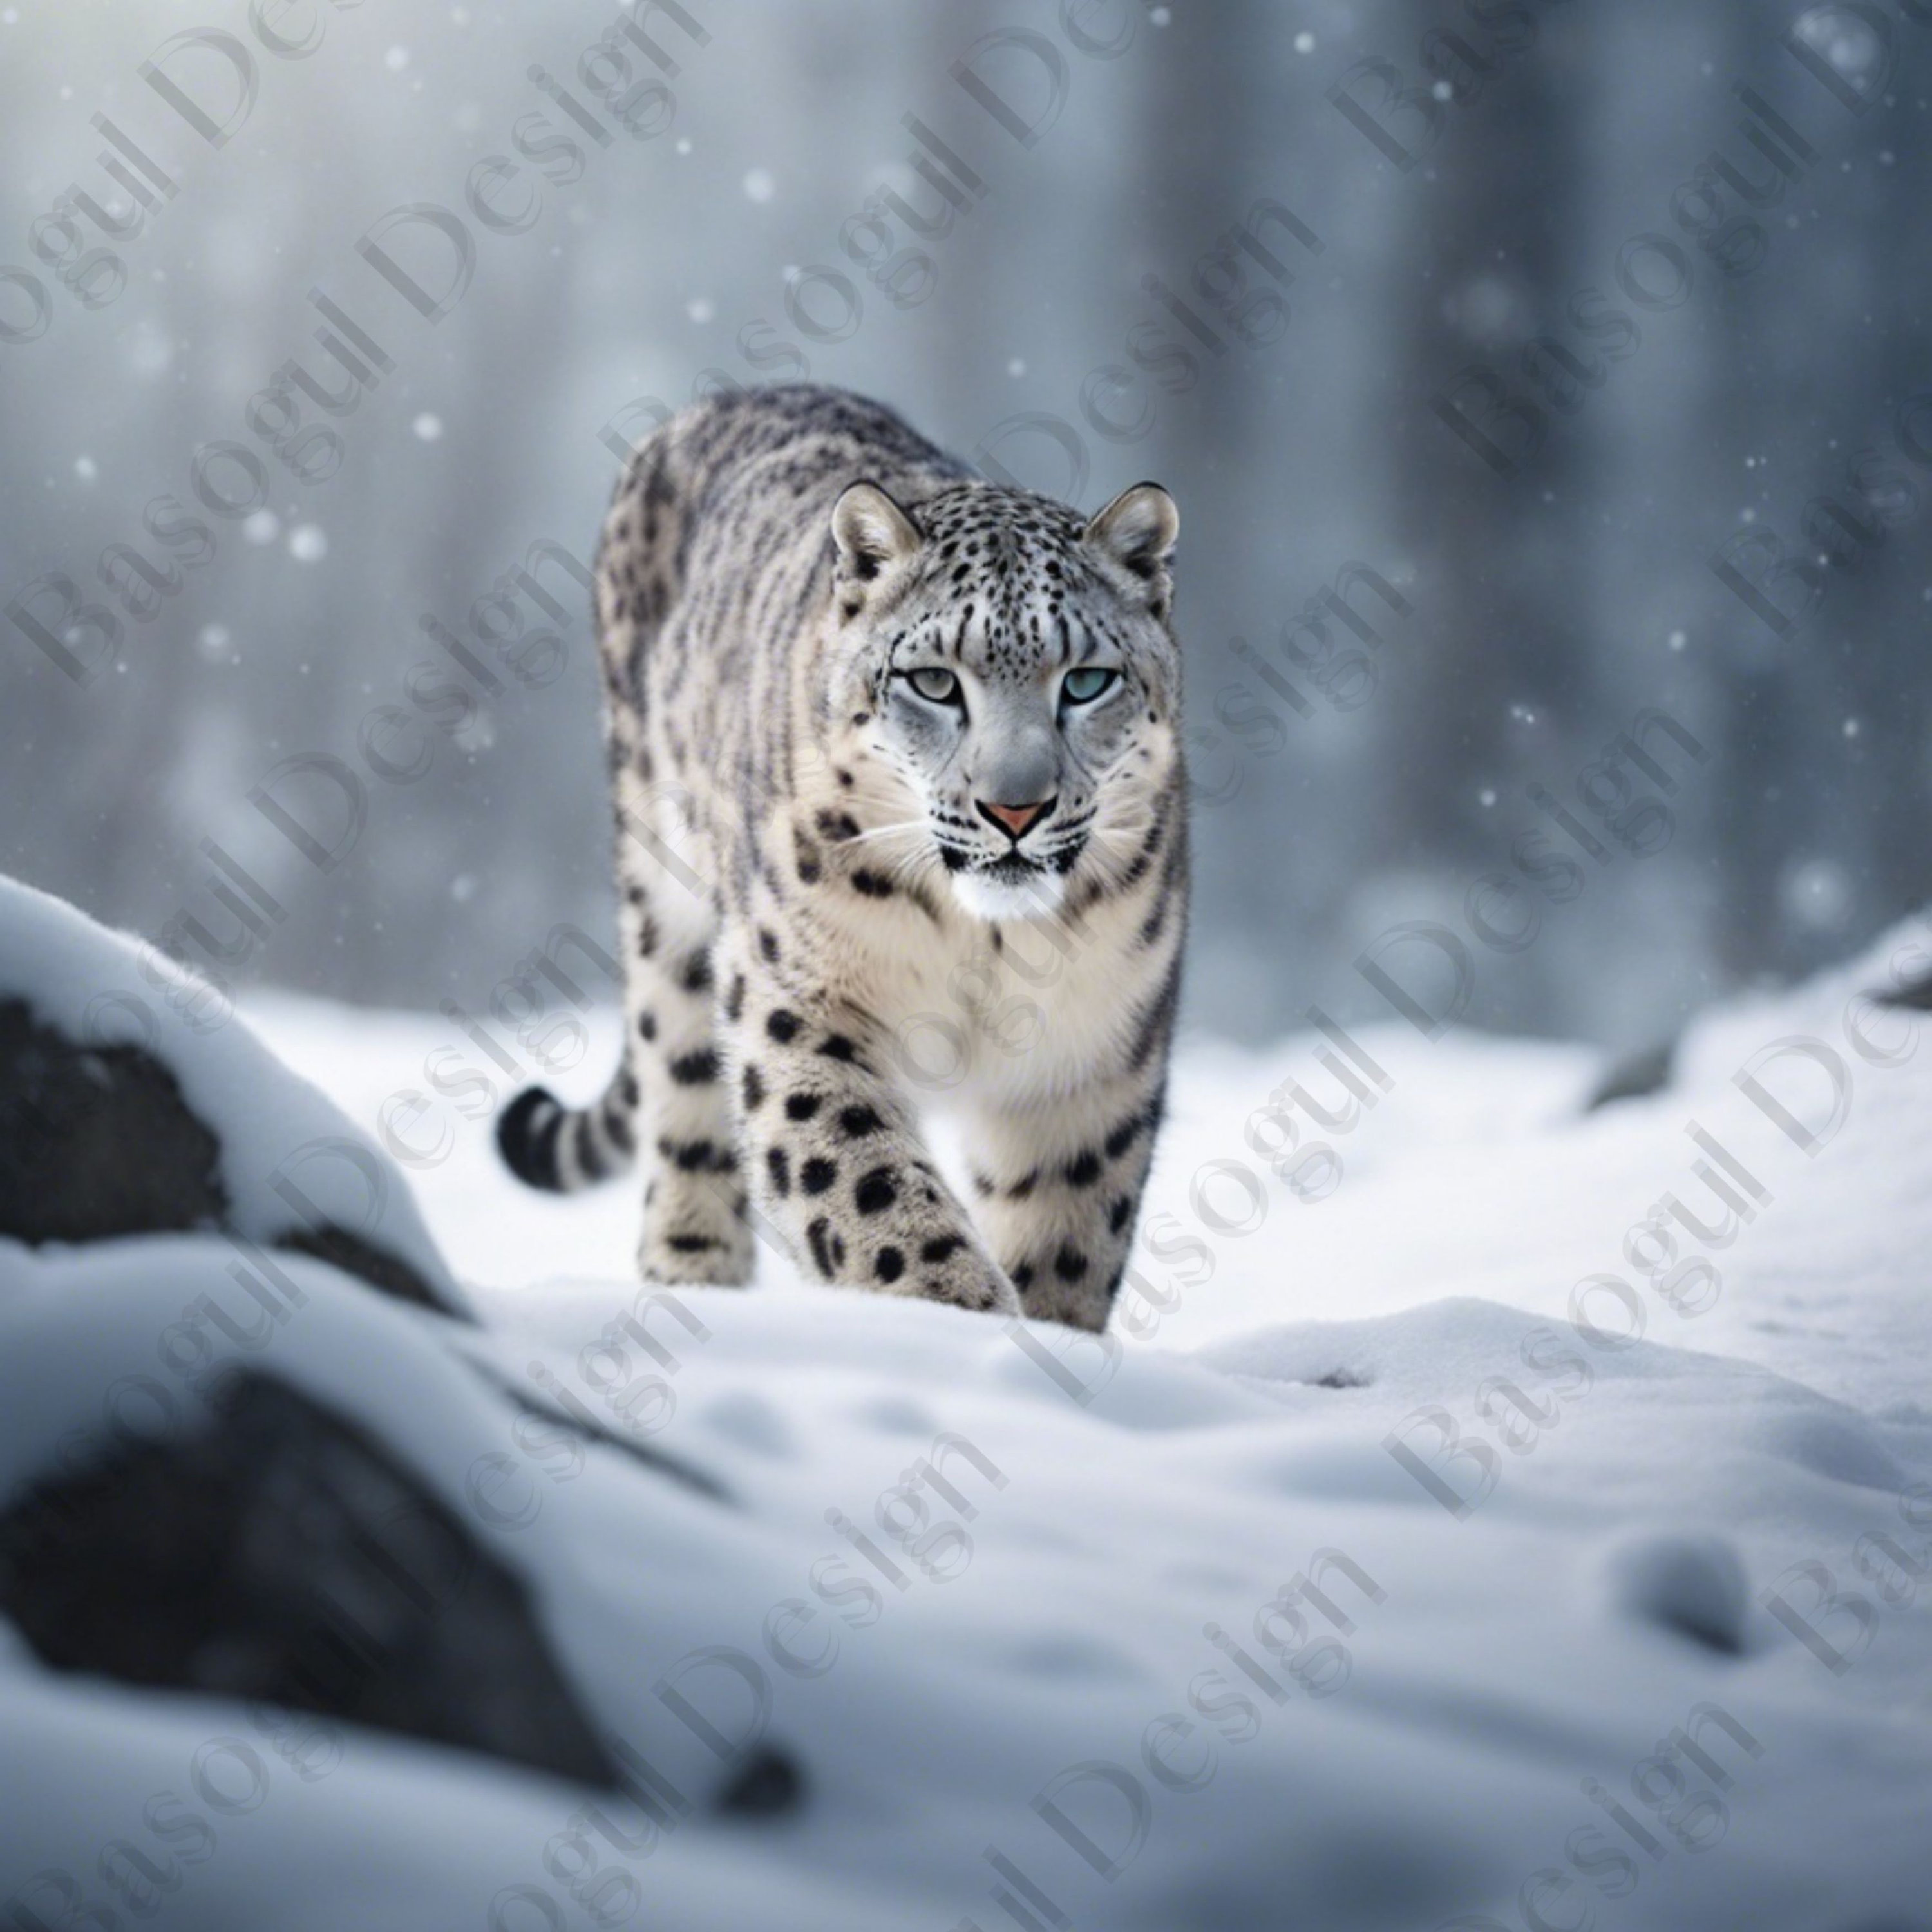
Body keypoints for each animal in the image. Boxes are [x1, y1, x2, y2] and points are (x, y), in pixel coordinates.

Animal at [496, 383, 1187, 1332]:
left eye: (1085, 681)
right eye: (934, 681)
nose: (1015, 807)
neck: (987, 947)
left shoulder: (1094, 1051)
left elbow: (1068, 1226)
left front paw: (1046, 1344)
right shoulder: (800, 1000)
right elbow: (868, 1187)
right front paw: (955, 1318)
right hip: (664, 895)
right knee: (681, 1093)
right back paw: (693, 1281)